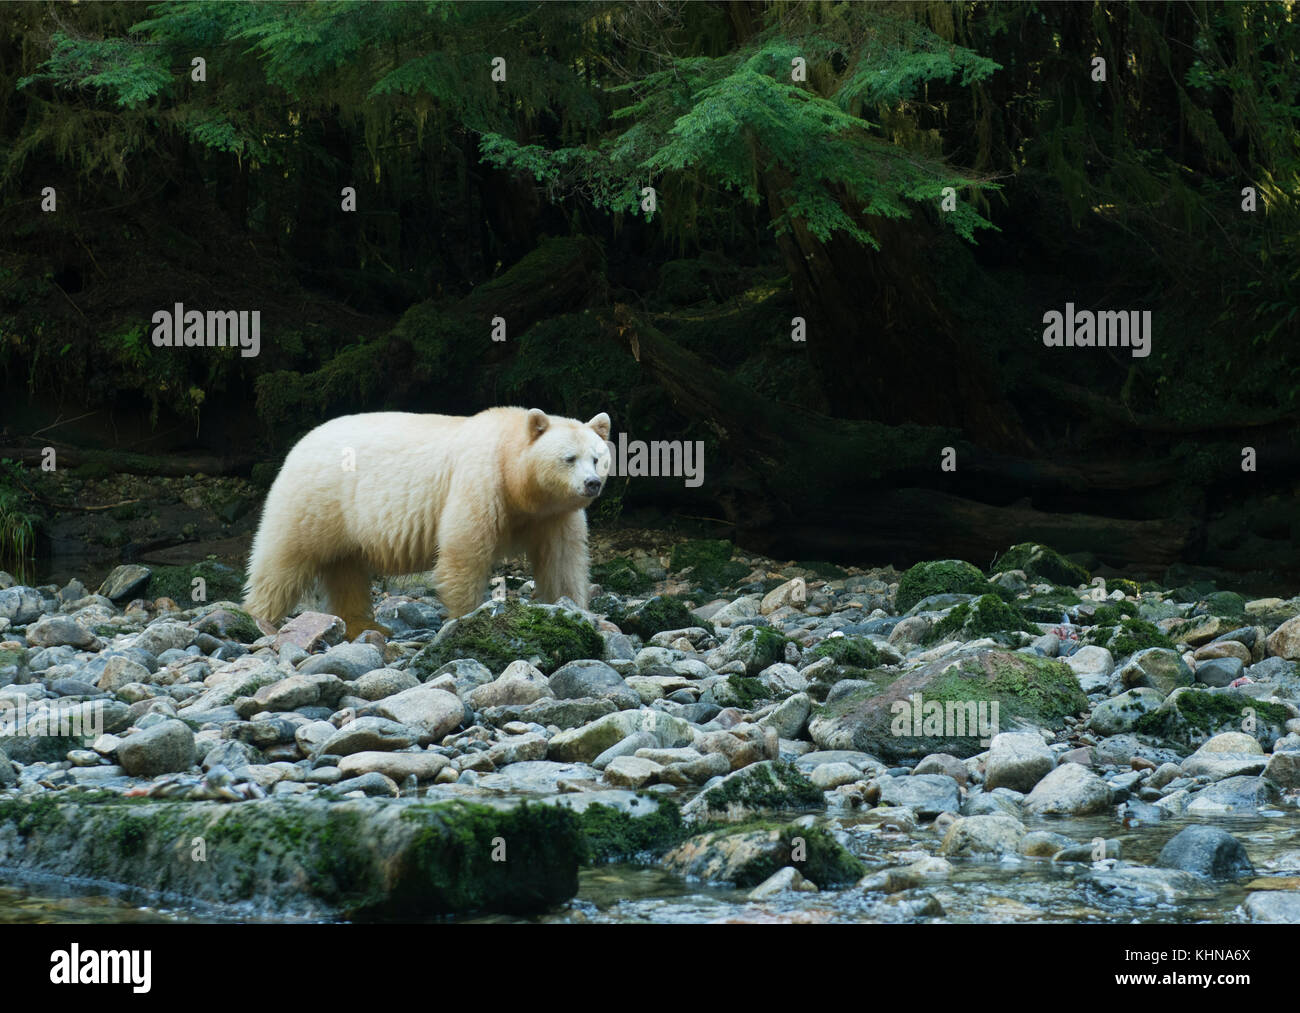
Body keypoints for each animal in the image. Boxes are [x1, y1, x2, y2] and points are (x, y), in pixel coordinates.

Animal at [243, 407, 611, 638]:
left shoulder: (554, 514)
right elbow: (464, 549)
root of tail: (301, 443)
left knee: (345, 570)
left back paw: (365, 627)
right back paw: (259, 619)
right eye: (569, 458)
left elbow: (562, 560)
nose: (592, 483)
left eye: (598, 458)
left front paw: (582, 615)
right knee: (283, 560)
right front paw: (466, 618)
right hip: (316, 499)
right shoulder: (480, 481)